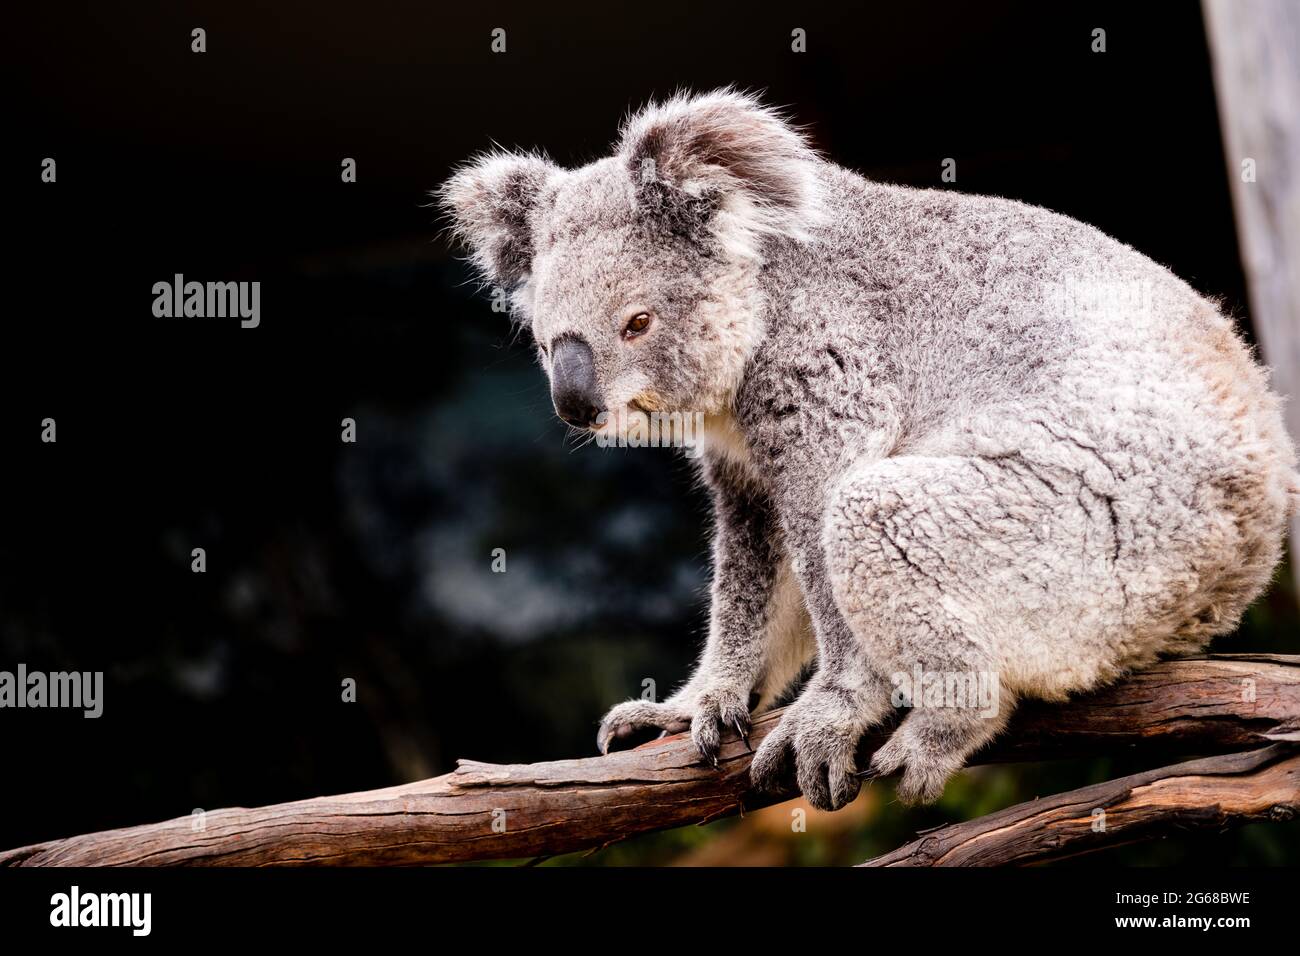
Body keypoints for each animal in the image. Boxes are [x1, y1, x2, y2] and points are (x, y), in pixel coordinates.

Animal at [441, 89, 1298, 809]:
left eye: (636, 324)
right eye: (544, 339)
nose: (577, 405)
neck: (763, 290)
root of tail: (1238, 569)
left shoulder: (826, 374)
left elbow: (822, 535)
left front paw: (829, 715)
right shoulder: (744, 468)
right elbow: (754, 581)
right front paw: (690, 707)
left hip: (1096, 537)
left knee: (873, 518)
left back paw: (936, 733)